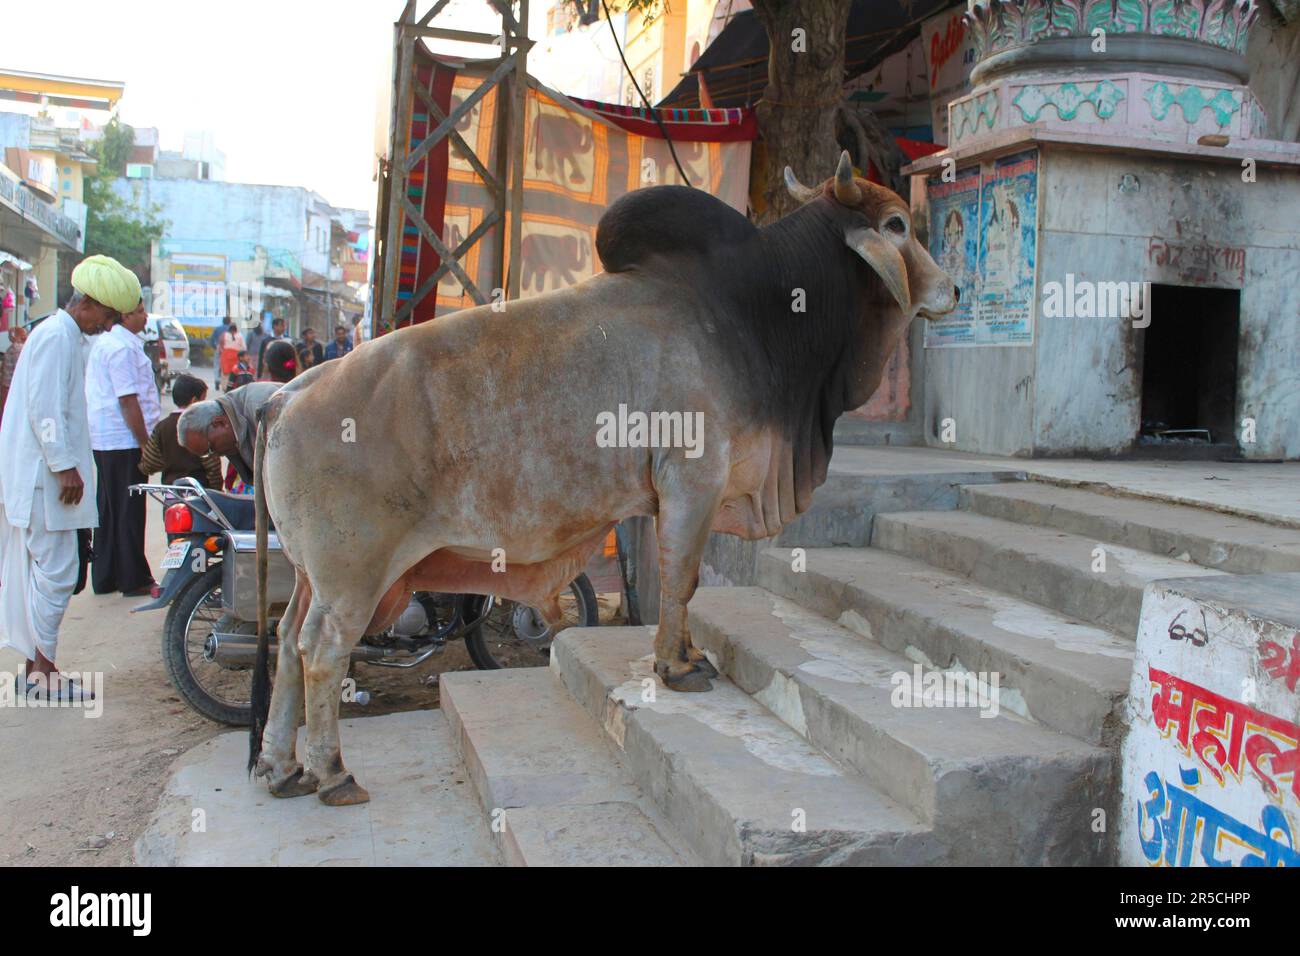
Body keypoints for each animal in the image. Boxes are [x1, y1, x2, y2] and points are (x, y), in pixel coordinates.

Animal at [249, 151, 958, 805]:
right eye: (897, 224)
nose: (953, 291)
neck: (753, 314)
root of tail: (286, 396)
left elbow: (676, 582)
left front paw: (689, 654)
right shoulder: (694, 480)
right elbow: (683, 579)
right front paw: (675, 666)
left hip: (314, 575)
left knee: (284, 640)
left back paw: (282, 767)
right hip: (352, 577)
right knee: (321, 650)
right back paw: (333, 773)